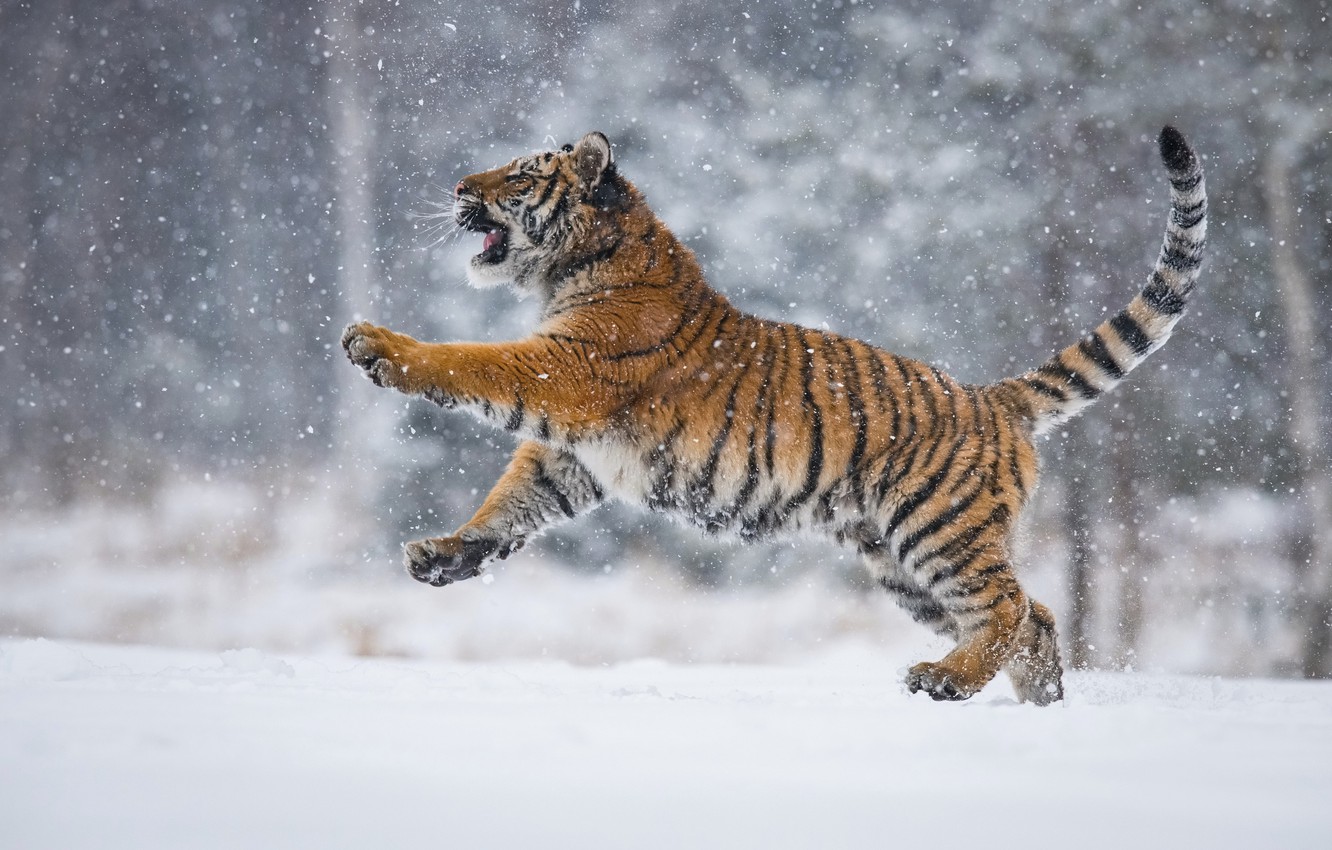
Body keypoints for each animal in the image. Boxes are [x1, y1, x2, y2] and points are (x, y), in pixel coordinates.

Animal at [342, 126, 1206, 705]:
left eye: (520, 174)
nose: (460, 186)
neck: (576, 266)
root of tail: (993, 395)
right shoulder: (575, 452)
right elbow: (513, 499)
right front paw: (447, 554)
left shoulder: (566, 373)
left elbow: (468, 361)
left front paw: (379, 344)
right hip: (902, 564)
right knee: (1038, 615)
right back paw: (1038, 706)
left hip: (938, 531)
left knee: (1011, 604)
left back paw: (945, 683)